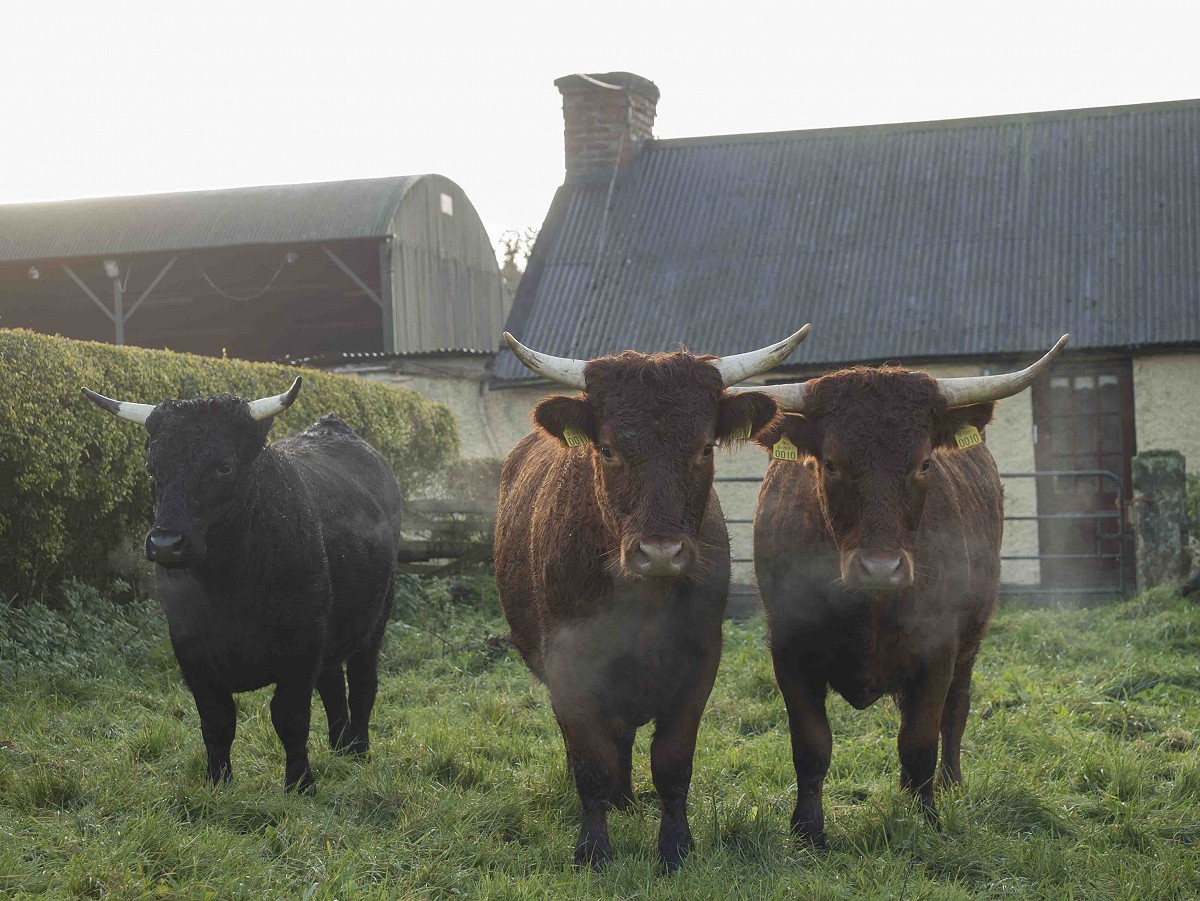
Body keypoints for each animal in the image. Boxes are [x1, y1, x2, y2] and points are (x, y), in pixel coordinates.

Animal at [81, 378, 402, 792]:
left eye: (224, 466)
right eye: (153, 467)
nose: (166, 543)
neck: (227, 586)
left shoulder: (301, 650)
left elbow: (289, 717)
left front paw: (301, 784)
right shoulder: (192, 654)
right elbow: (217, 721)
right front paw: (218, 782)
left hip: (375, 618)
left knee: (363, 683)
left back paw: (359, 751)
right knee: (332, 685)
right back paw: (340, 748)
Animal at [494, 327, 808, 870]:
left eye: (705, 448)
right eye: (607, 449)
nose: (660, 552)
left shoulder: (700, 660)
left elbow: (672, 761)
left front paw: (676, 848)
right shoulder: (568, 663)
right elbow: (590, 759)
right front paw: (593, 851)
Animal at [732, 336, 1068, 847]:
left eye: (924, 462)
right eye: (831, 464)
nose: (880, 567)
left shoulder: (938, 649)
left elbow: (920, 740)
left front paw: (926, 821)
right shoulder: (789, 650)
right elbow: (811, 745)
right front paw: (807, 831)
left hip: (971, 640)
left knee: (955, 711)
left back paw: (945, 786)